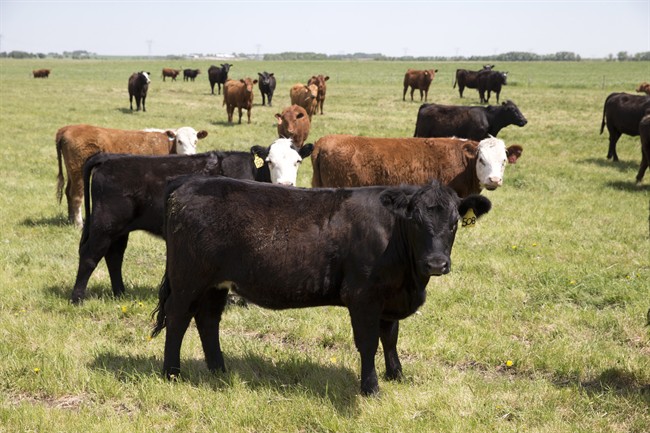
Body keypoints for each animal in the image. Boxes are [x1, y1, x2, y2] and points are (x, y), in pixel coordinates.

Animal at [55, 124, 208, 227]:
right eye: (179, 141)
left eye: (195, 142)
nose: (190, 155)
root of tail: (67, 128)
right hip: (79, 172)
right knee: (76, 195)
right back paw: (78, 223)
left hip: (71, 172)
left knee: (68, 192)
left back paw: (70, 219)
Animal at [69, 138, 314, 304]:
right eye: (270, 162)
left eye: (298, 161)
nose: (286, 185)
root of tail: (109, 157)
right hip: (105, 223)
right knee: (90, 255)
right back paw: (77, 298)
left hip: (119, 228)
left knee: (114, 256)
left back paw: (120, 293)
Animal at [150, 176, 491, 395]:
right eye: (415, 222)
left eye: (454, 223)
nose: (436, 263)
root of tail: (186, 184)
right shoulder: (363, 296)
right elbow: (369, 342)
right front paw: (371, 388)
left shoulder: (389, 298)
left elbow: (390, 338)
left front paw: (396, 375)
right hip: (188, 278)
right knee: (178, 317)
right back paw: (172, 373)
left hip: (215, 284)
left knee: (208, 320)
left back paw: (219, 371)